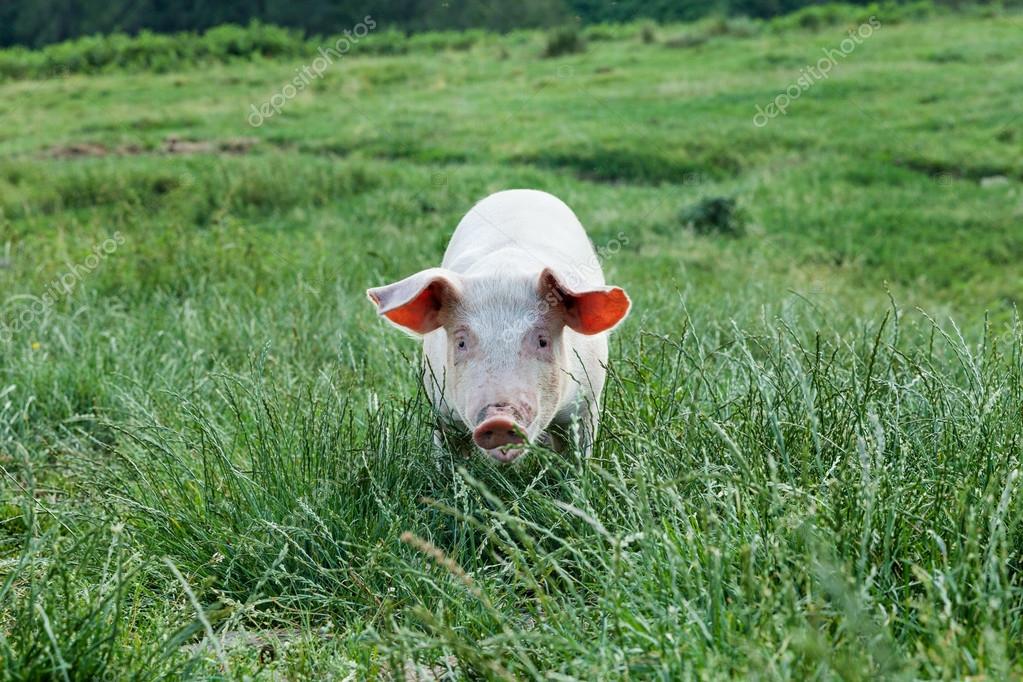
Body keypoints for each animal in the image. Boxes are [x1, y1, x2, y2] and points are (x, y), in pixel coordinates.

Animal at [367, 189, 630, 463]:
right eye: (461, 342)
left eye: (542, 341)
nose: (500, 420)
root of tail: (521, 191)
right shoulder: (441, 408)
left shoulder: (588, 401)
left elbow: (581, 450)